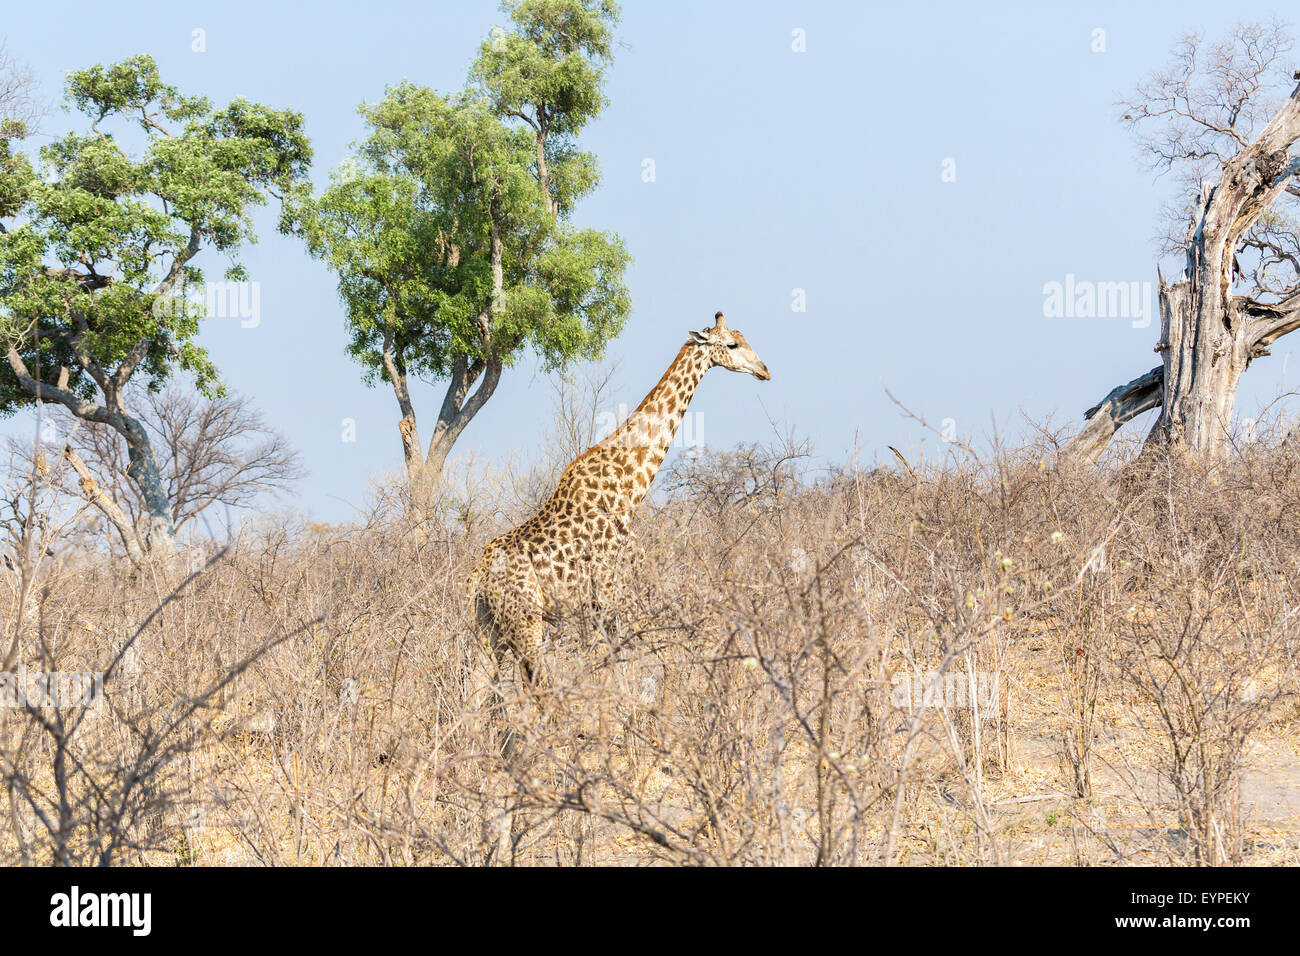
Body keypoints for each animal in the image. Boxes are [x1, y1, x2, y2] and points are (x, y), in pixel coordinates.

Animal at [469, 311, 770, 687]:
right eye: (732, 344)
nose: (764, 370)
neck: (631, 486)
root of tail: (478, 578)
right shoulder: (613, 591)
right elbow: (622, 665)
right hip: (525, 622)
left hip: (487, 627)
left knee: (477, 687)